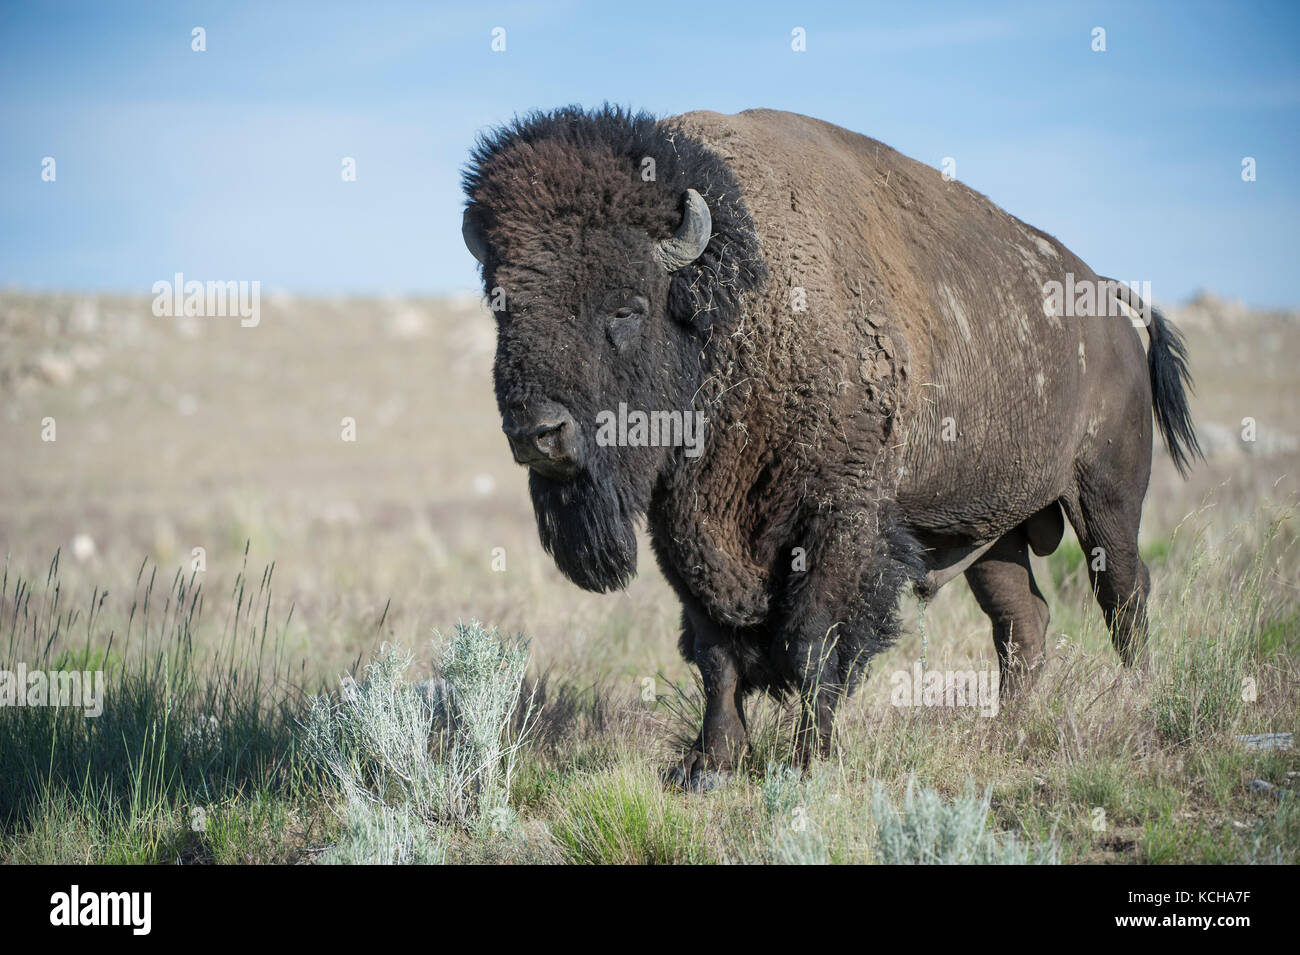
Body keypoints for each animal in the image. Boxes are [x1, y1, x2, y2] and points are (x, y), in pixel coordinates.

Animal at [461, 106, 1200, 789]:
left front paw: (809, 760)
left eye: (625, 308)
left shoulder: (839, 519)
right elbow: (714, 649)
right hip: (996, 529)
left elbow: (815, 638)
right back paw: (1004, 732)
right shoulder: (685, 533)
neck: (739, 306)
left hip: (1105, 496)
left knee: (1124, 594)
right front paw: (709, 764)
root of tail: (1111, 299)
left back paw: (1136, 701)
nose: (538, 433)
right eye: (501, 302)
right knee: (1024, 620)